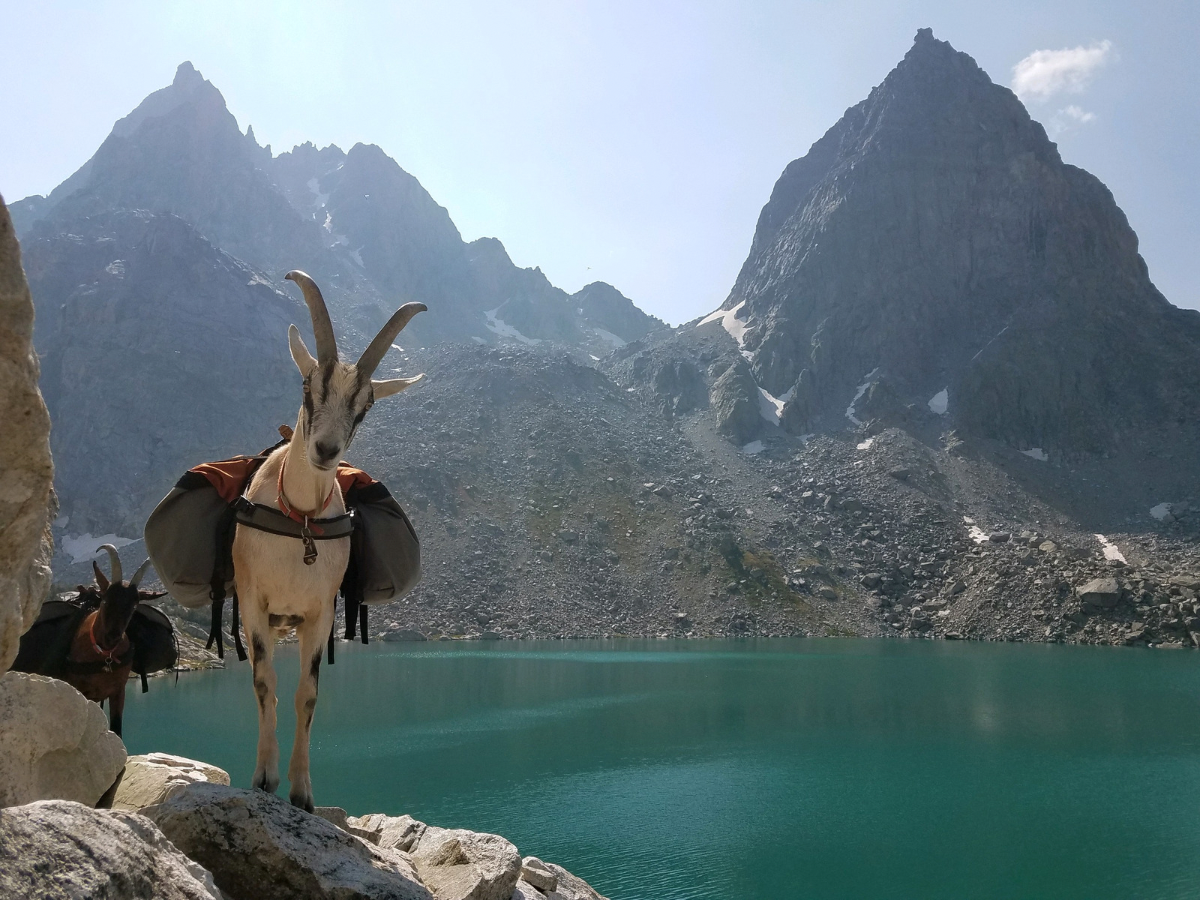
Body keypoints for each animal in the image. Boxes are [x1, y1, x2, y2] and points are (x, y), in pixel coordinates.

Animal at [12, 545, 155, 737]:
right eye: (105, 600)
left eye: (134, 606)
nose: (112, 636)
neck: (104, 656)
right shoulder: (80, 690)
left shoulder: (118, 692)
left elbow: (117, 730)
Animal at [231, 270, 424, 812]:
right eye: (307, 384)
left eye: (366, 406)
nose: (325, 450)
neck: (298, 523)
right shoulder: (254, 601)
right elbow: (265, 683)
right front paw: (264, 777)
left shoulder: (319, 611)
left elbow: (307, 694)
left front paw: (301, 790)